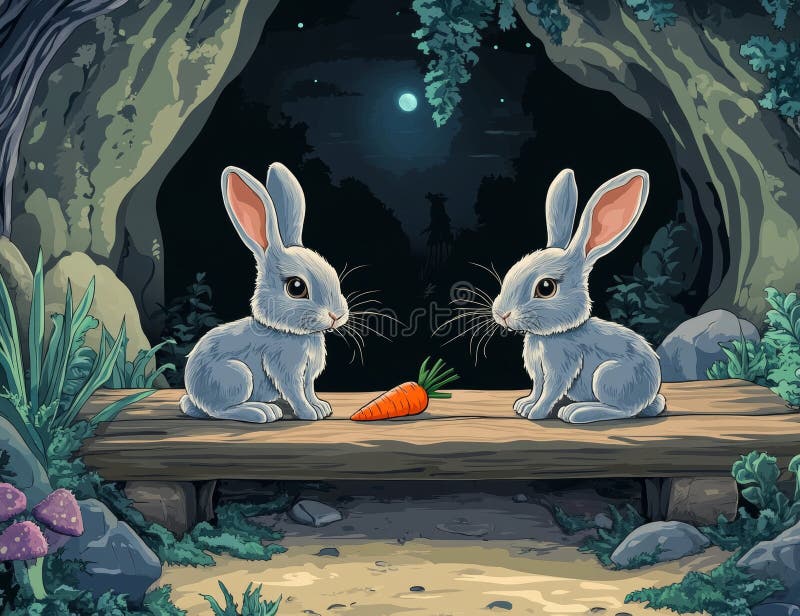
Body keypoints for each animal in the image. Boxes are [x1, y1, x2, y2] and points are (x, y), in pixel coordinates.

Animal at [179, 163, 348, 423]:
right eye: (296, 287)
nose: (336, 315)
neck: (292, 333)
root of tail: (193, 394)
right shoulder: (285, 370)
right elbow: (296, 392)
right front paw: (309, 414)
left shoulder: (308, 376)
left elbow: (309, 390)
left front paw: (321, 408)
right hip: (236, 376)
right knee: (219, 411)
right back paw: (262, 411)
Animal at [491, 168, 665, 424]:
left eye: (546, 288)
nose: (502, 314)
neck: (550, 335)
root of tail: (651, 392)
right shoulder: (538, 372)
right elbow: (537, 388)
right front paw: (524, 405)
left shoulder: (562, 368)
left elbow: (549, 391)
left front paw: (536, 413)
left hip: (607, 377)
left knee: (624, 411)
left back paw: (578, 411)